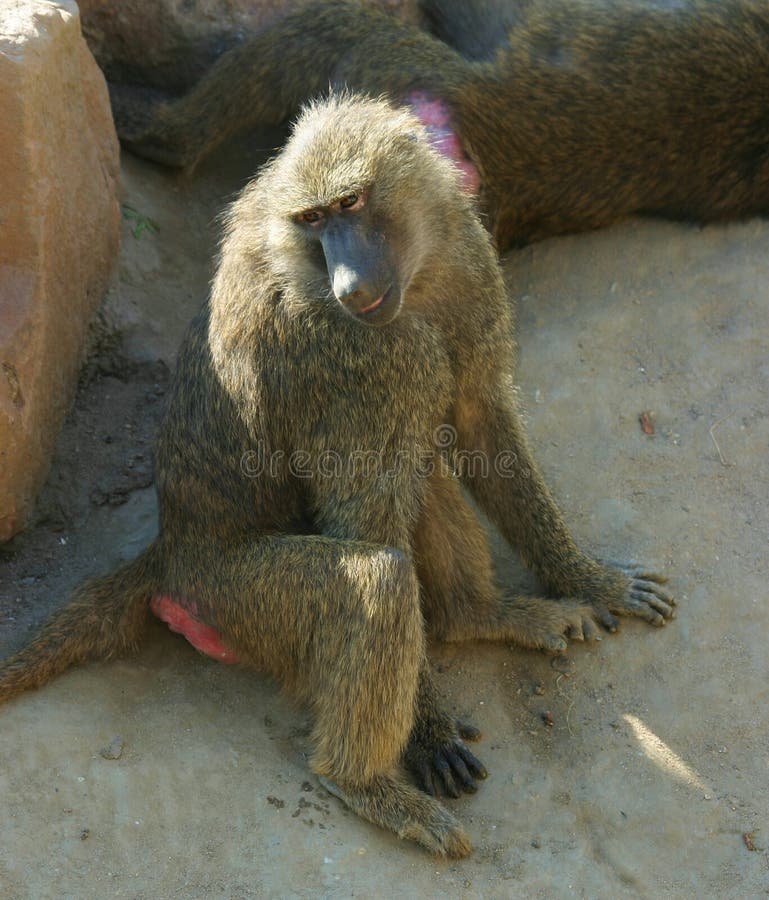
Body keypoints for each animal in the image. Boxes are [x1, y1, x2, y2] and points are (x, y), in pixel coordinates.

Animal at [0, 95, 674, 856]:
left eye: (351, 203)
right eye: (313, 221)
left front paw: (592, 580)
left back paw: (479, 617)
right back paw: (364, 782)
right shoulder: (356, 357)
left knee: (423, 466)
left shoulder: (466, 258)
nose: (351, 284)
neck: (418, 275)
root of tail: (174, 547)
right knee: (380, 571)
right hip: (238, 596)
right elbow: (365, 520)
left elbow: (480, 422)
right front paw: (426, 732)